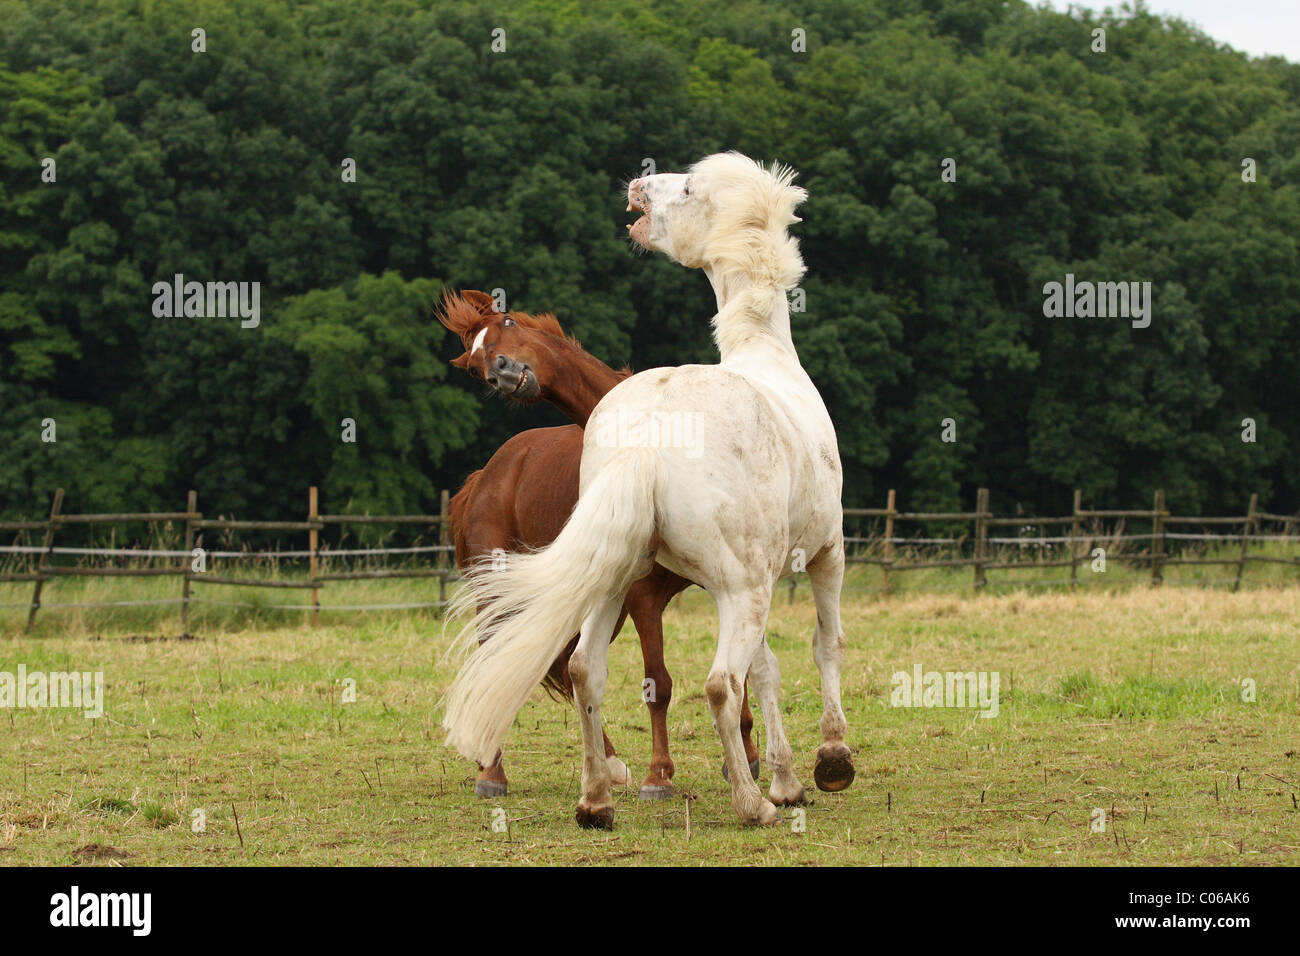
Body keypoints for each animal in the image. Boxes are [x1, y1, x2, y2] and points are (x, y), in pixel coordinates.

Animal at [437, 290, 759, 799]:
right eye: (473, 364)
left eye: (508, 323)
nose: (501, 371)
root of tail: (484, 478)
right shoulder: (644, 597)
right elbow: (658, 683)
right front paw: (659, 774)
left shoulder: (725, 578)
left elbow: (739, 673)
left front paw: (747, 757)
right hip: (497, 595)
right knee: (500, 663)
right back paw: (492, 772)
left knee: (568, 667)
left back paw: (608, 763)